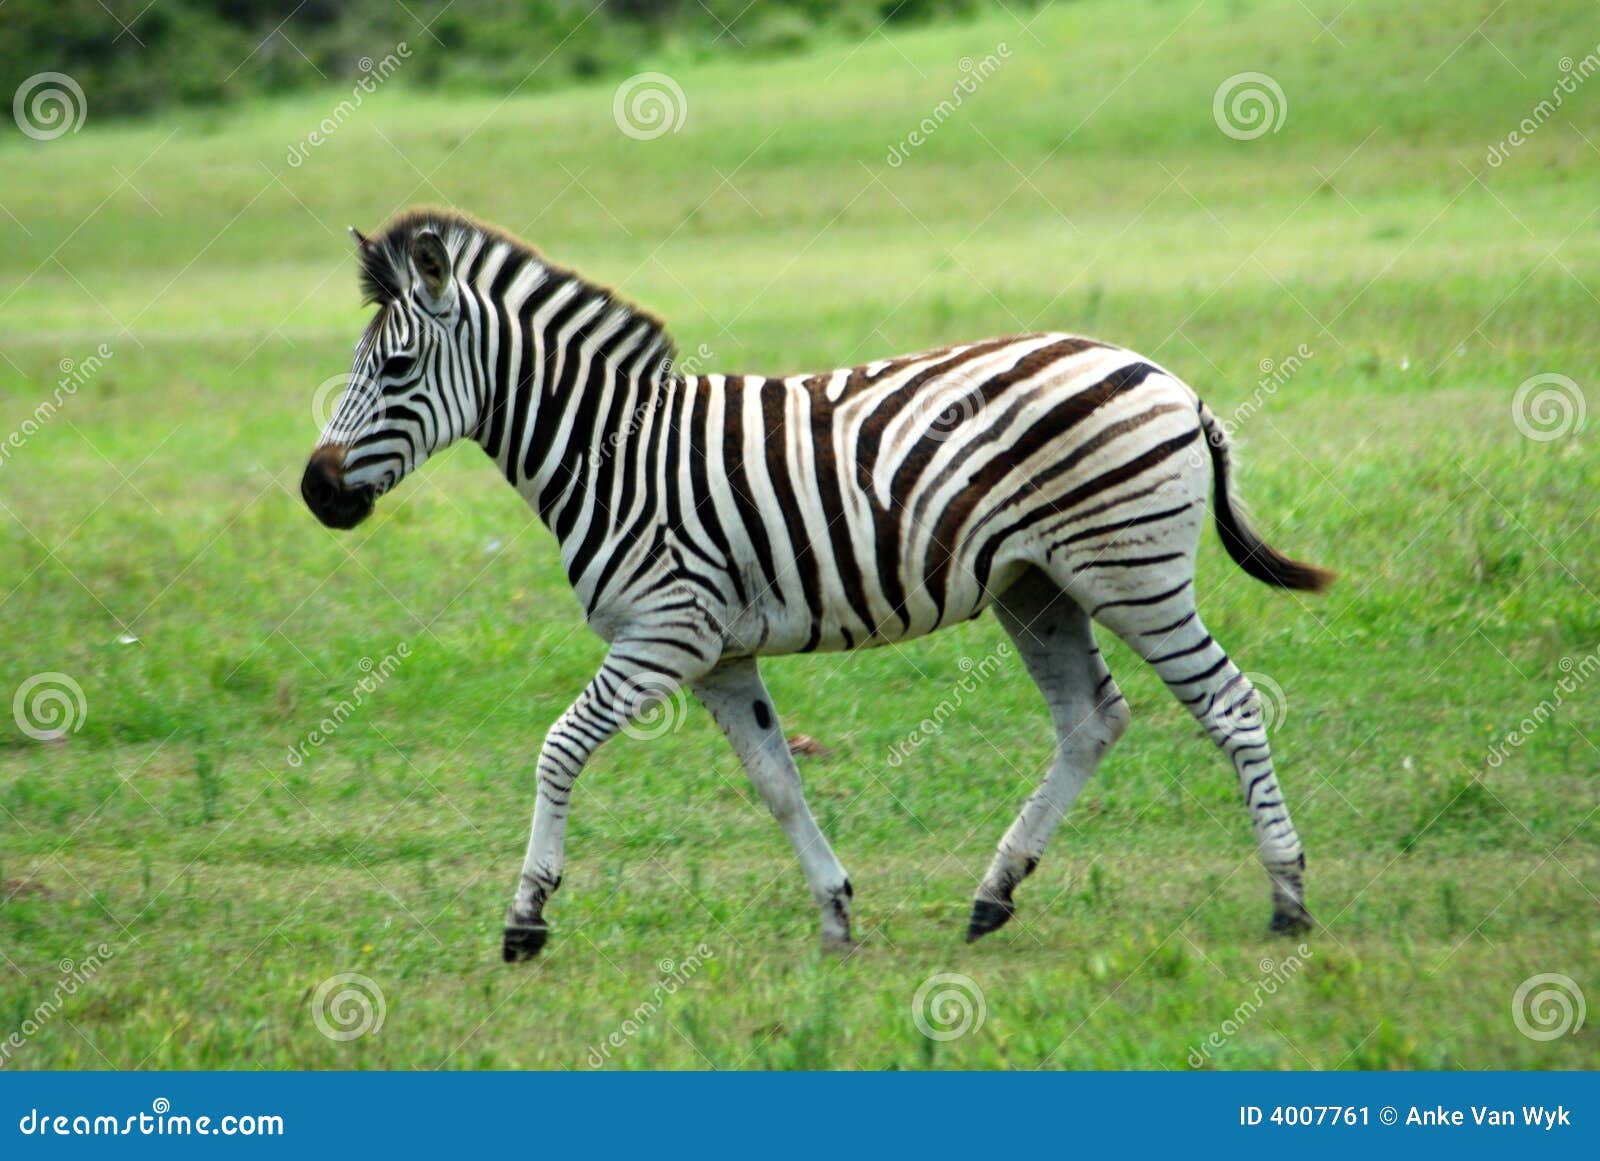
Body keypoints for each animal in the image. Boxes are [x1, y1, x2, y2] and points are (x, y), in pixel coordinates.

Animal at [300, 208, 1333, 961]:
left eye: (396, 367)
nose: (315, 491)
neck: (612, 454)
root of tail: (1166, 376)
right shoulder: (718, 655)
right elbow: (777, 780)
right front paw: (836, 910)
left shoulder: (664, 632)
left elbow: (558, 749)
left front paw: (526, 918)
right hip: (1036, 586)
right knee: (1091, 720)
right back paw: (993, 894)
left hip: (1132, 573)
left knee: (1230, 702)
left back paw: (1288, 897)